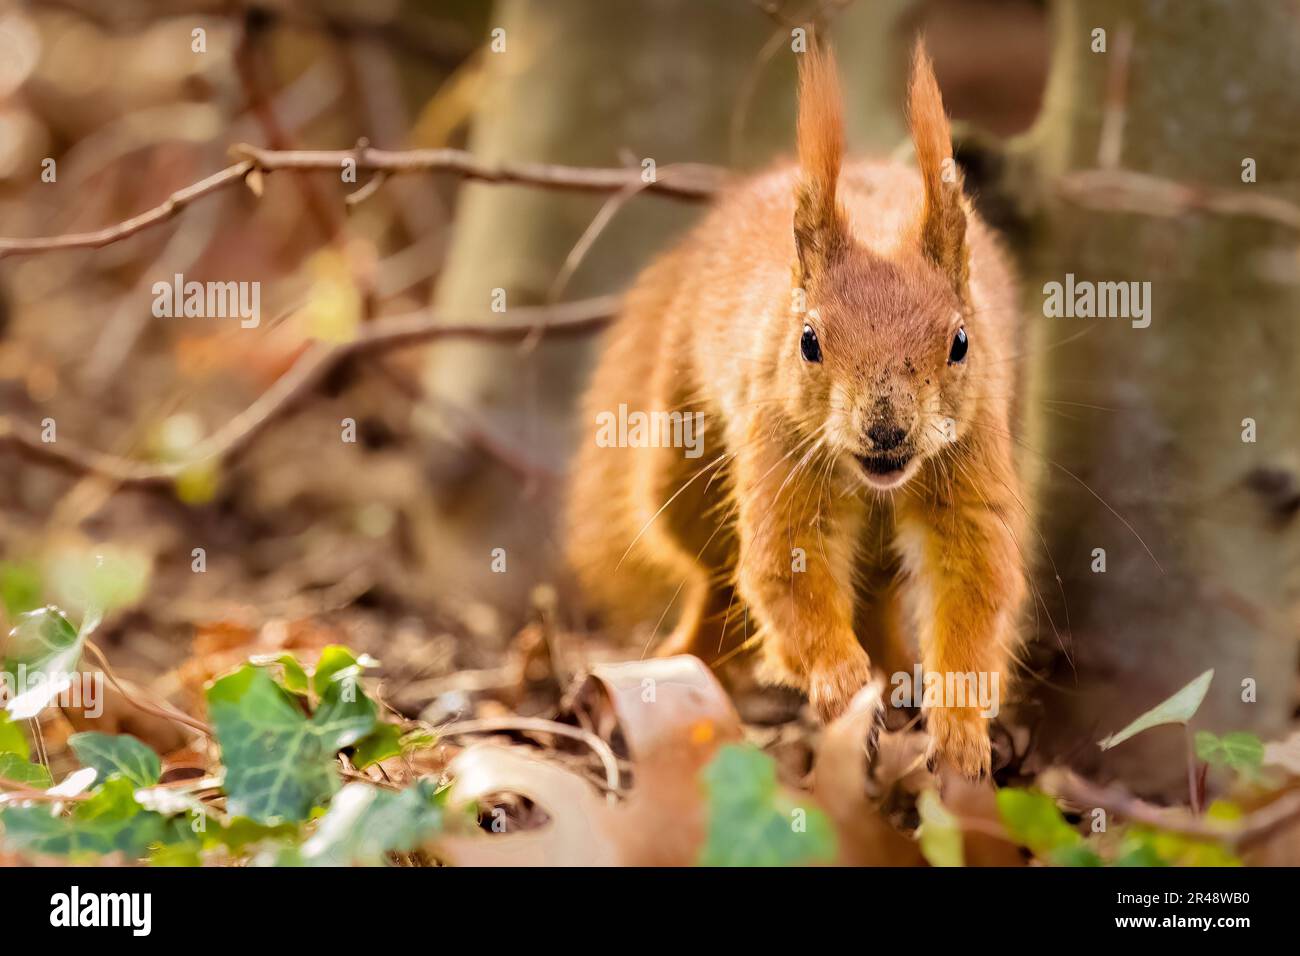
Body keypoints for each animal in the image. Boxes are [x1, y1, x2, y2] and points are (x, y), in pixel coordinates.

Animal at [566, 40, 1028, 779]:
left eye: (961, 342)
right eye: (809, 340)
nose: (887, 428)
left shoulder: (971, 457)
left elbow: (975, 582)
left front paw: (959, 732)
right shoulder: (781, 446)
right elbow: (784, 567)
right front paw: (840, 683)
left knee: (875, 592)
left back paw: (895, 680)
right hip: (681, 449)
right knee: (718, 574)